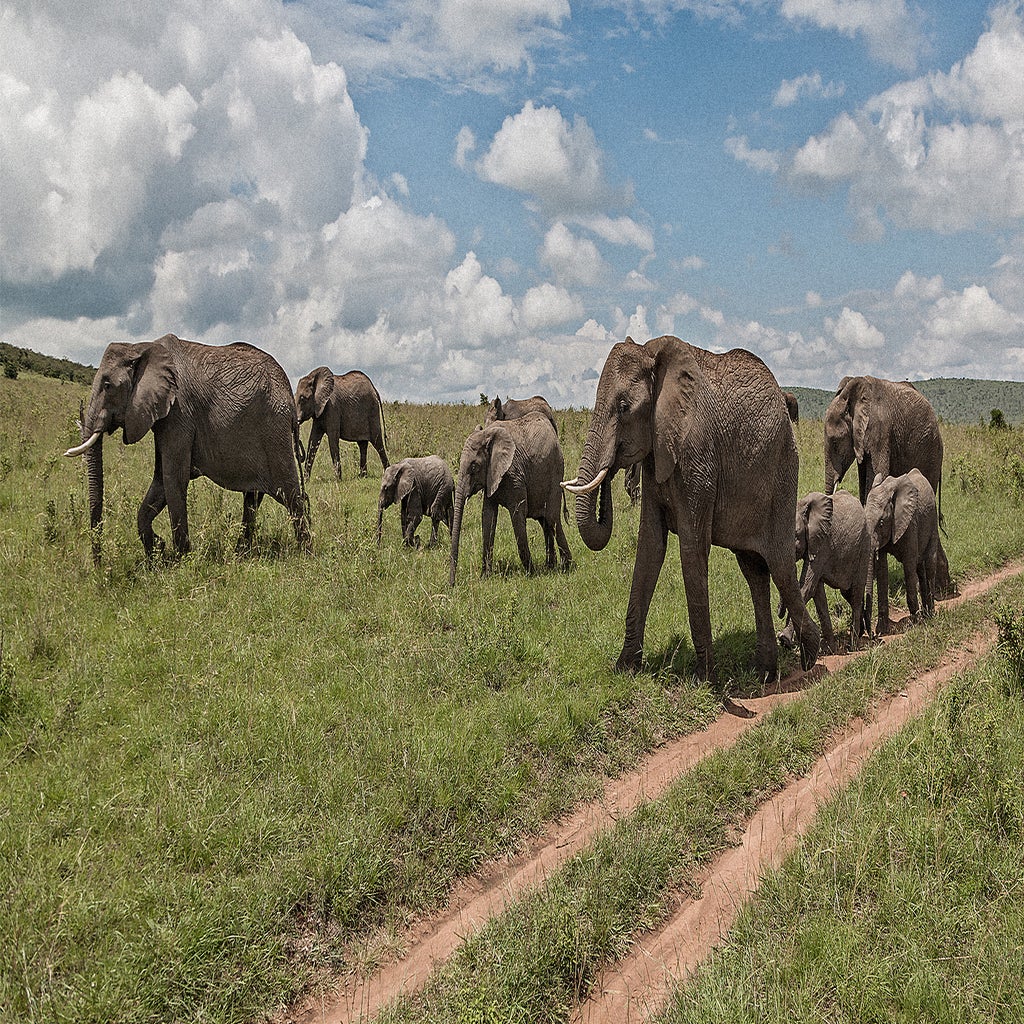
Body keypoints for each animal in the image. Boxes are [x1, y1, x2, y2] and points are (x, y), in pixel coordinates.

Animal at [64, 334, 311, 559]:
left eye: (107, 385)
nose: (98, 565)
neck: (140, 346)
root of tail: (289, 397)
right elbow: (161, 478)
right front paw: (158, 553)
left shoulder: (180, 413)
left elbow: (173, 477)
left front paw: (182, 560)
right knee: (253, 499)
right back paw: (241, 554)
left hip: (273, 430)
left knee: (290, 495)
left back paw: (305, 554)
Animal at [449, 412, 572, 585]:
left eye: (474, 466)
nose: (452, 584)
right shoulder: (491, 476)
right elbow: (488, 516)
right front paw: (485, 577)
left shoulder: (513, 474)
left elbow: (517, 514)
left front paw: (531, 573)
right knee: (544, 521)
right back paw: (550, 566)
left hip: (556, 471)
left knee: (552, 518)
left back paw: (566, 567)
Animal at [562, 335, 819, 684]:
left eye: (624, 408)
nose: (613, 464)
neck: (651, 353)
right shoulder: (658, 454)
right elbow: (650, 548)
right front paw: (624, 669)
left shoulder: (697, 457)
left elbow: (691, 548)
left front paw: (703, 680)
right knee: (754, 569)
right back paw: (765, 672)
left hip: (782, 469)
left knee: (779, 564)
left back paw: (812, 654)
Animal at [778, 490, 870, 654]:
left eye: (795, 534)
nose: (779, 612)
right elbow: (817, 594)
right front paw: (830, 650)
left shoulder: (822, 544)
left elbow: (807, 587)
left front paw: (784, 639)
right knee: (848, 593)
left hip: (864, 548)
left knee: (856, 595)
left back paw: (853, 646)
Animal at [864, 469, 939, 636]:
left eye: (881, 523)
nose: (871, 635)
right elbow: (882, 571)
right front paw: (882, 630)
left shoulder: (910, 523)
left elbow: (908, 566)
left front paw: (915, 623)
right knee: (920, 569)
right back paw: (925, 614)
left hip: (932, 520)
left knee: (929, 564)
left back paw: (929, 614)